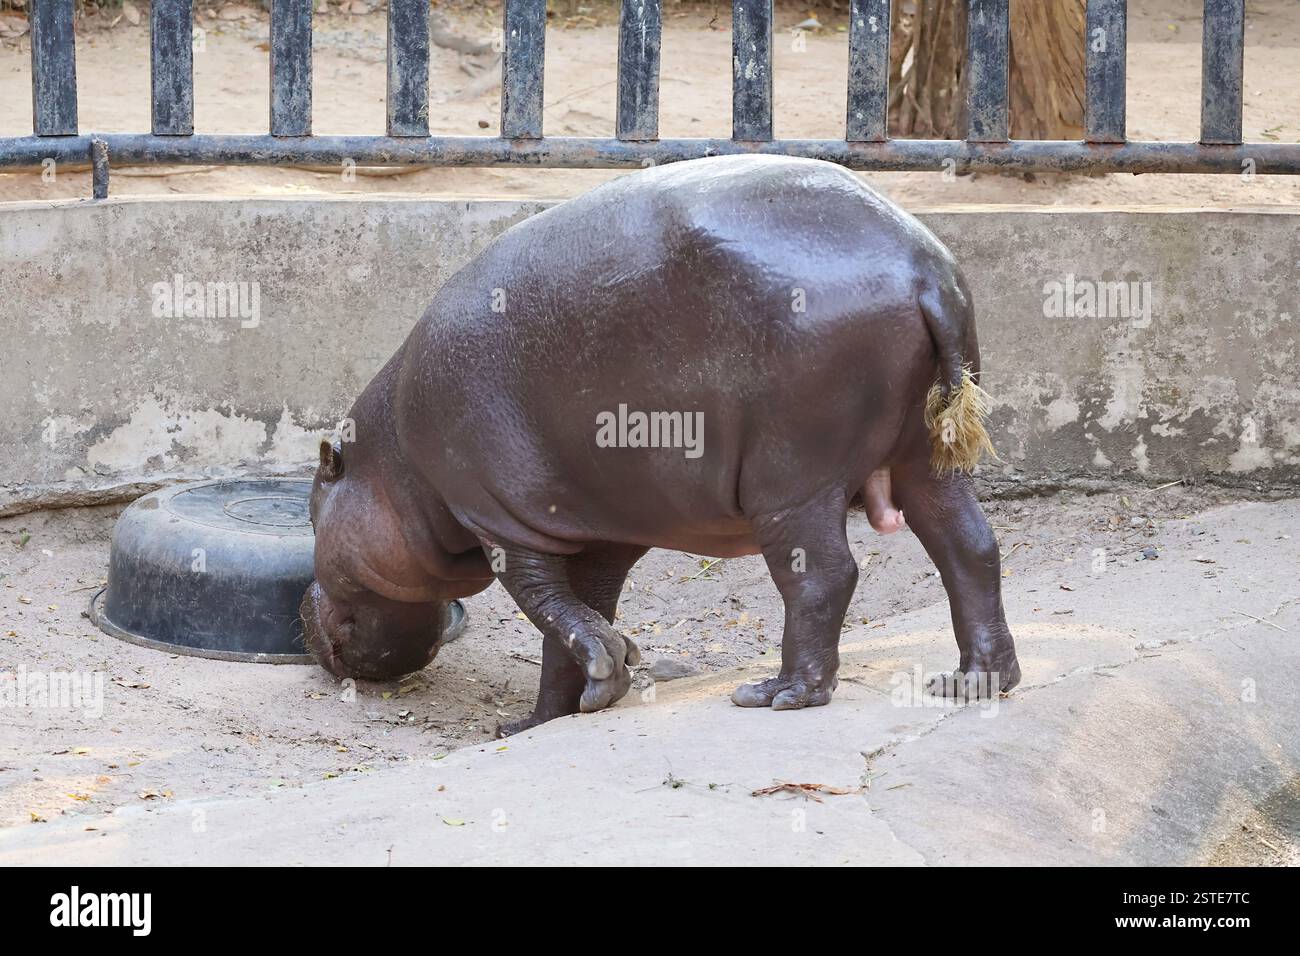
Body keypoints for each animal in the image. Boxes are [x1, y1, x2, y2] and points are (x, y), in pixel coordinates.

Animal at [301, 154, 1021, 735]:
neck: (392, 466)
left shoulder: (500, 517)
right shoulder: (602, 531)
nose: (305, 611)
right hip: (923, 459)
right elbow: (573, 623)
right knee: (971, 549)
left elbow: (549, 608)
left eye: (310, 513)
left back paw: (777, 694)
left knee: (825, 575)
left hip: (791, 481)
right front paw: (548, 717)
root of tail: (925, 268)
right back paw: (974, 681)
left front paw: (602, 674)